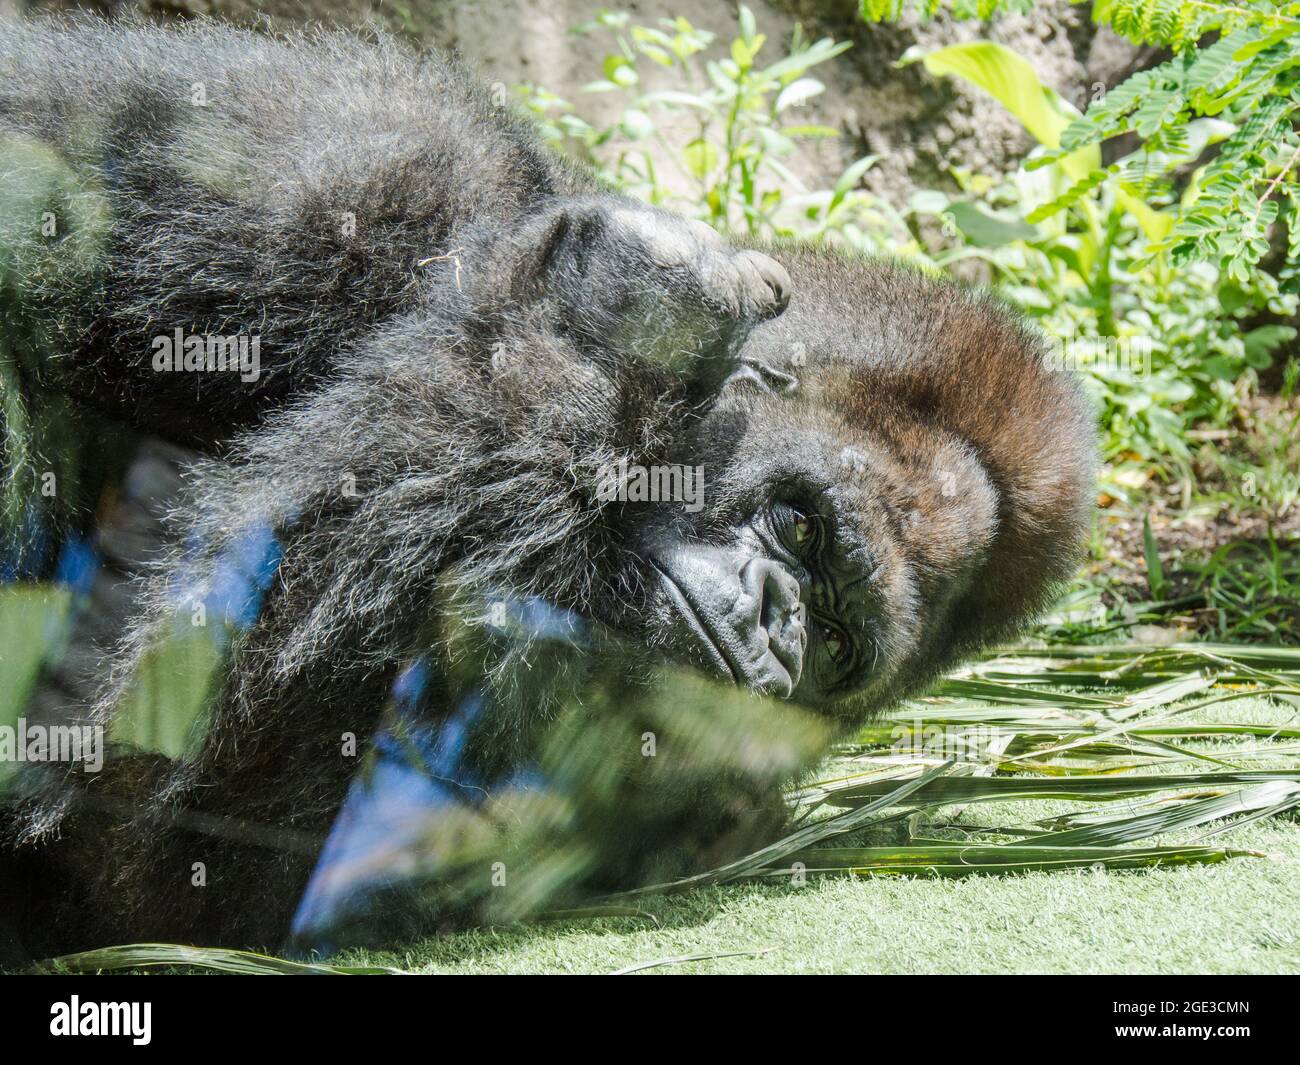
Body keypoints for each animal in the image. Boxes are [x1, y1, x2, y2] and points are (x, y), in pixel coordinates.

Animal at [0, 16, 1094, 955]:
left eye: (833, 642)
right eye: (799, 526)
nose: (777, 618)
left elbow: (177, 864)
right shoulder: (335, 165)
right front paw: (645, 309)